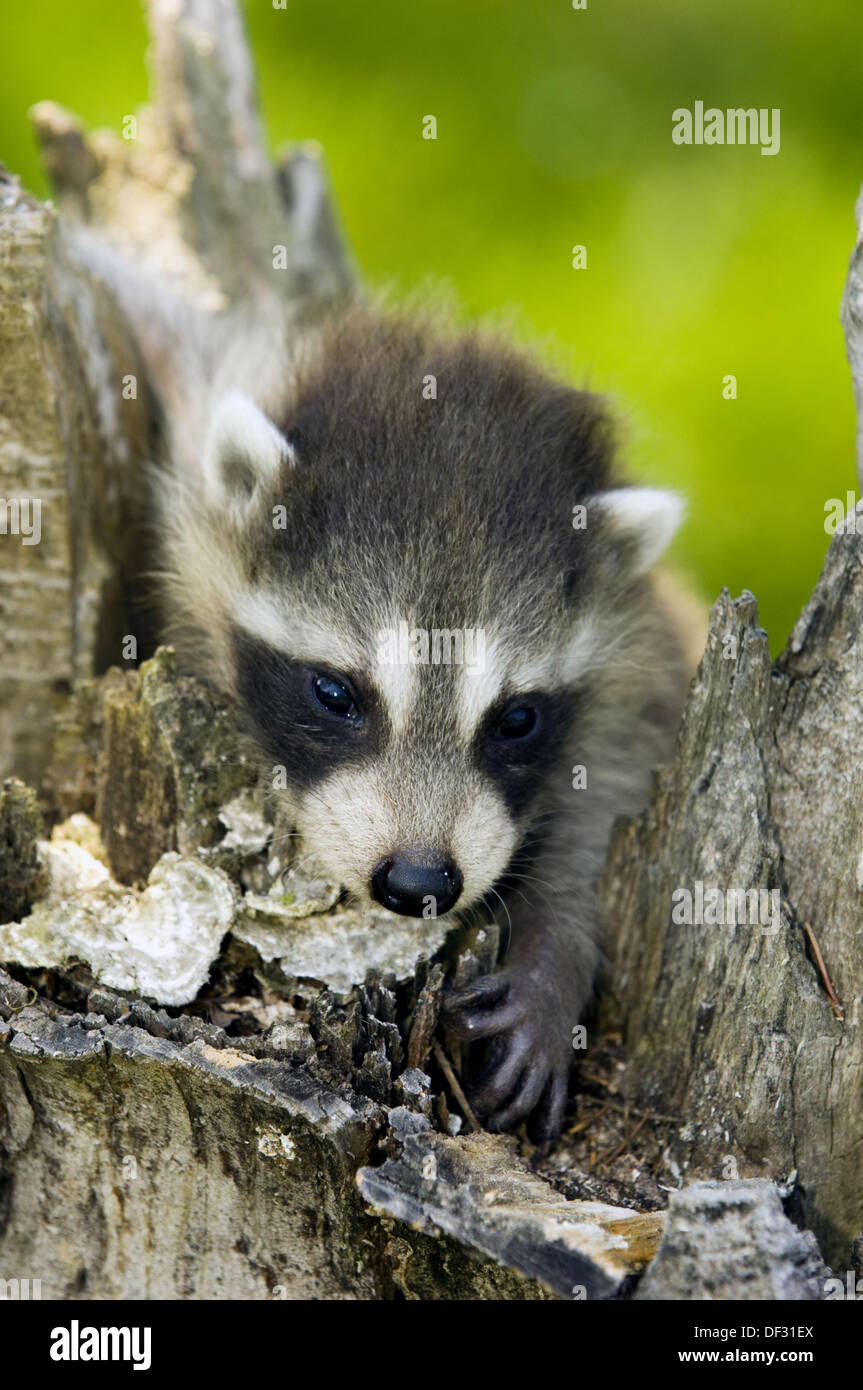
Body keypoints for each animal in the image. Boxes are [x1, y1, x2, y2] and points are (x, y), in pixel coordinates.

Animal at [78, 242, 694, 1142]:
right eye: (336, 694)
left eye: (516, 719)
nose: (419, 884)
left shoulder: (637, 665)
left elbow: (612, 806)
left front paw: (555, 951)